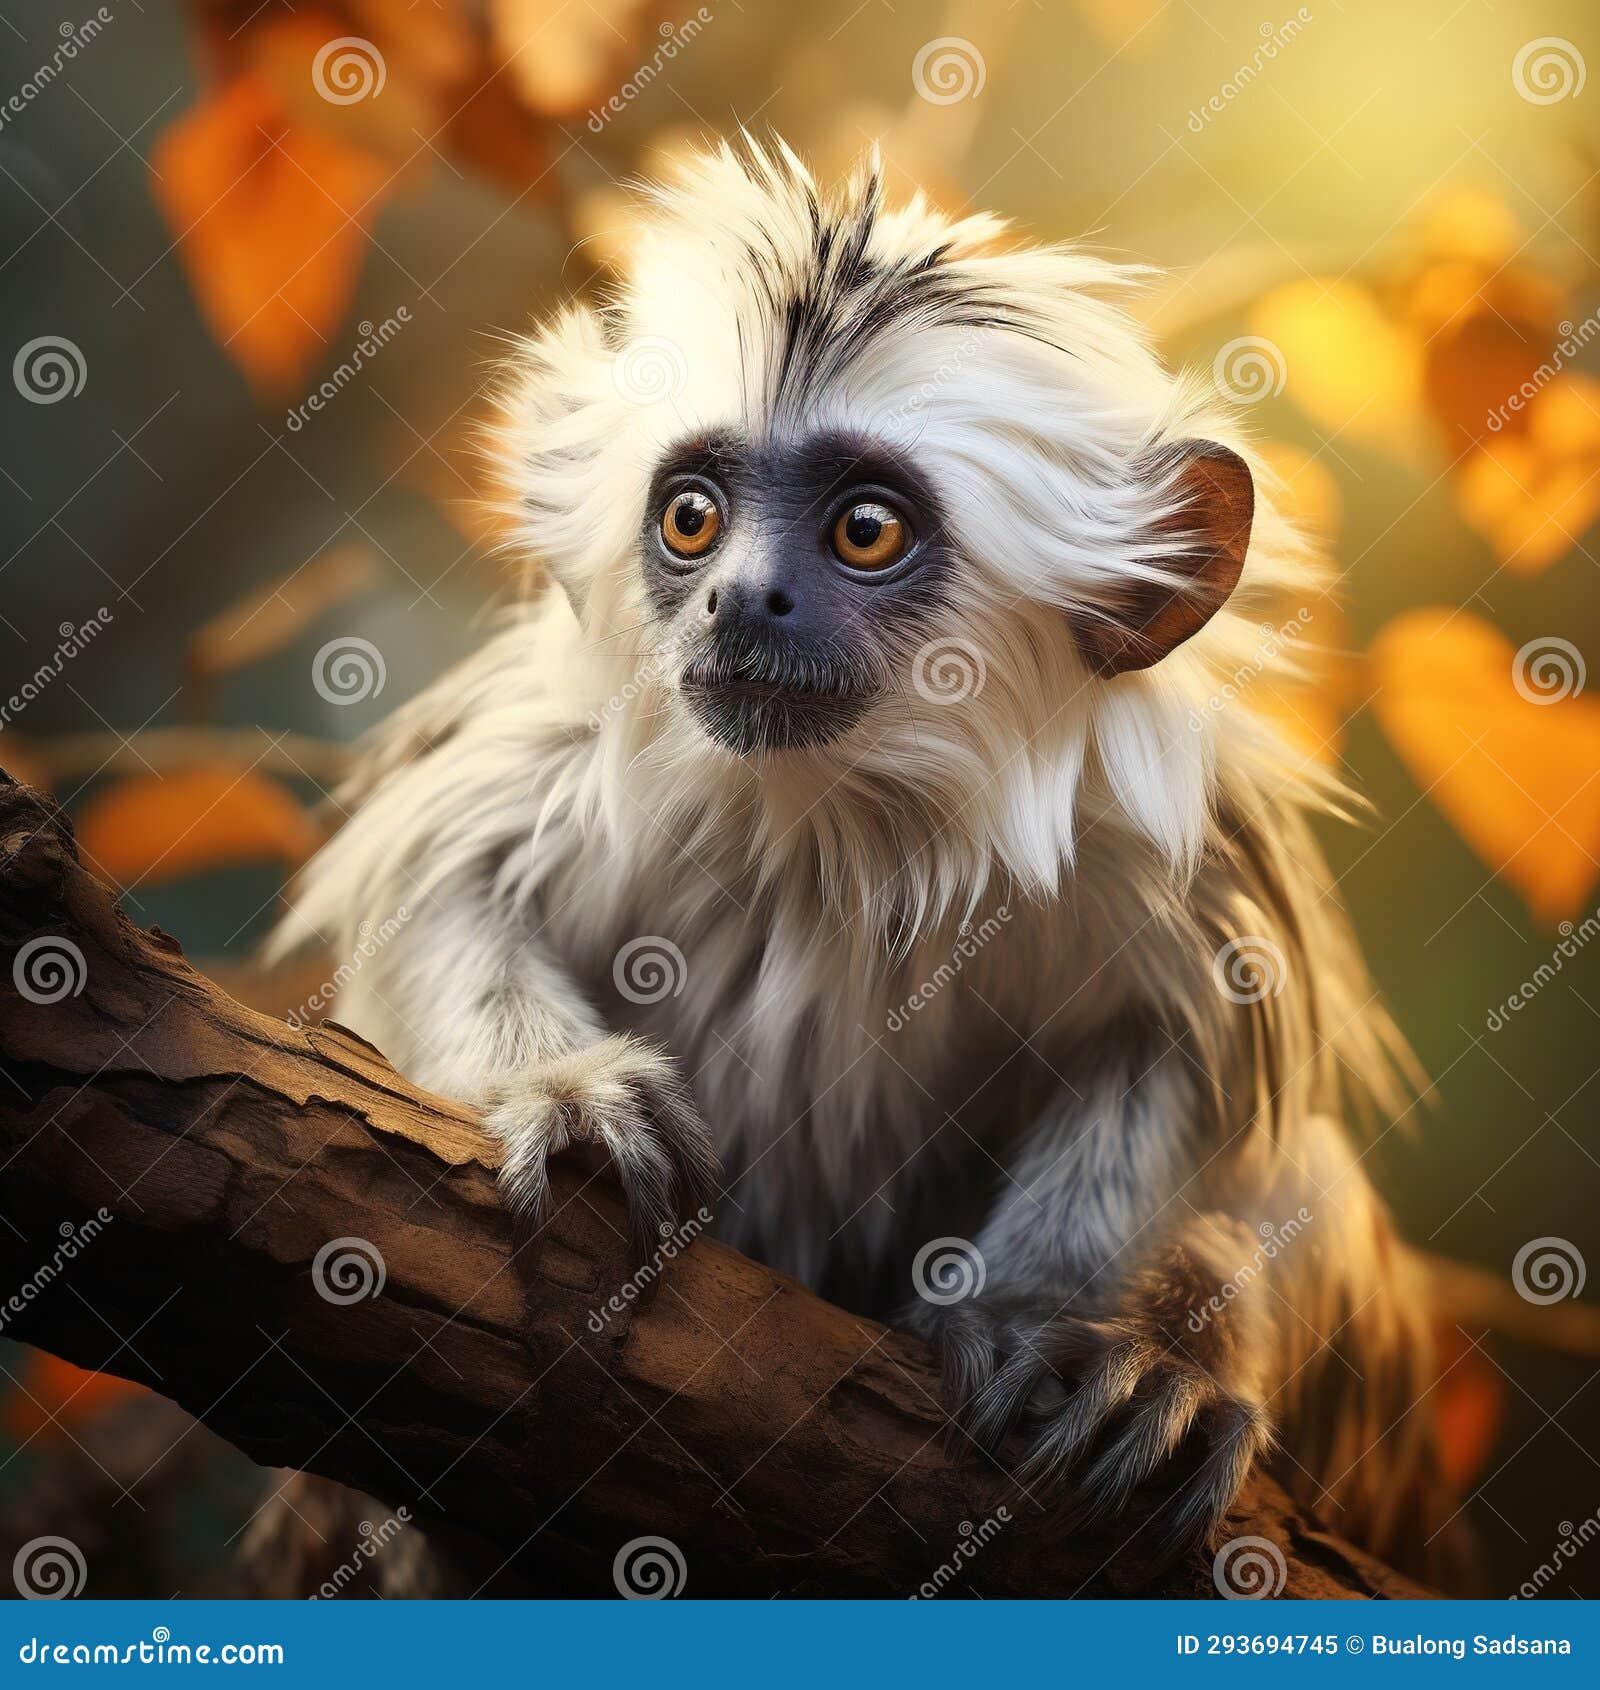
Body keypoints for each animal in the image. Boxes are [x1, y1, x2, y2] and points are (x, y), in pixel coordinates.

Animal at [269, 137, 1461, 1581]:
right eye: (690, 518)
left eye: (866, 532)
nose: (738, 598)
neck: (840, 822)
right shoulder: (563, 750)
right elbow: (431, 879)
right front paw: (561, 1088)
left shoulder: (1163, 851)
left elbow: (1190, 1057)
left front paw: (1099, 1327)